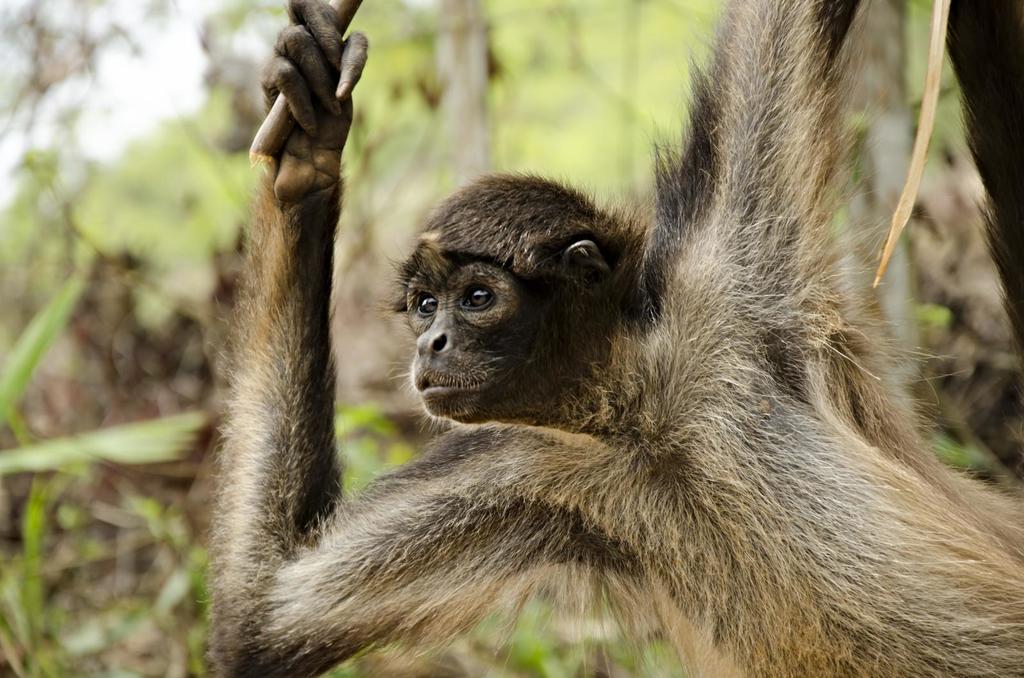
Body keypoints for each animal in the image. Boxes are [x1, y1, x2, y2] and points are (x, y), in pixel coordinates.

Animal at [208, 0, 1024, 675]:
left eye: (477, 299)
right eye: (423, 305)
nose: (427, 347)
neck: (643, 413)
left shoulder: (732, 274)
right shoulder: (536, 468)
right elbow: (263, 616)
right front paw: (308, 149)